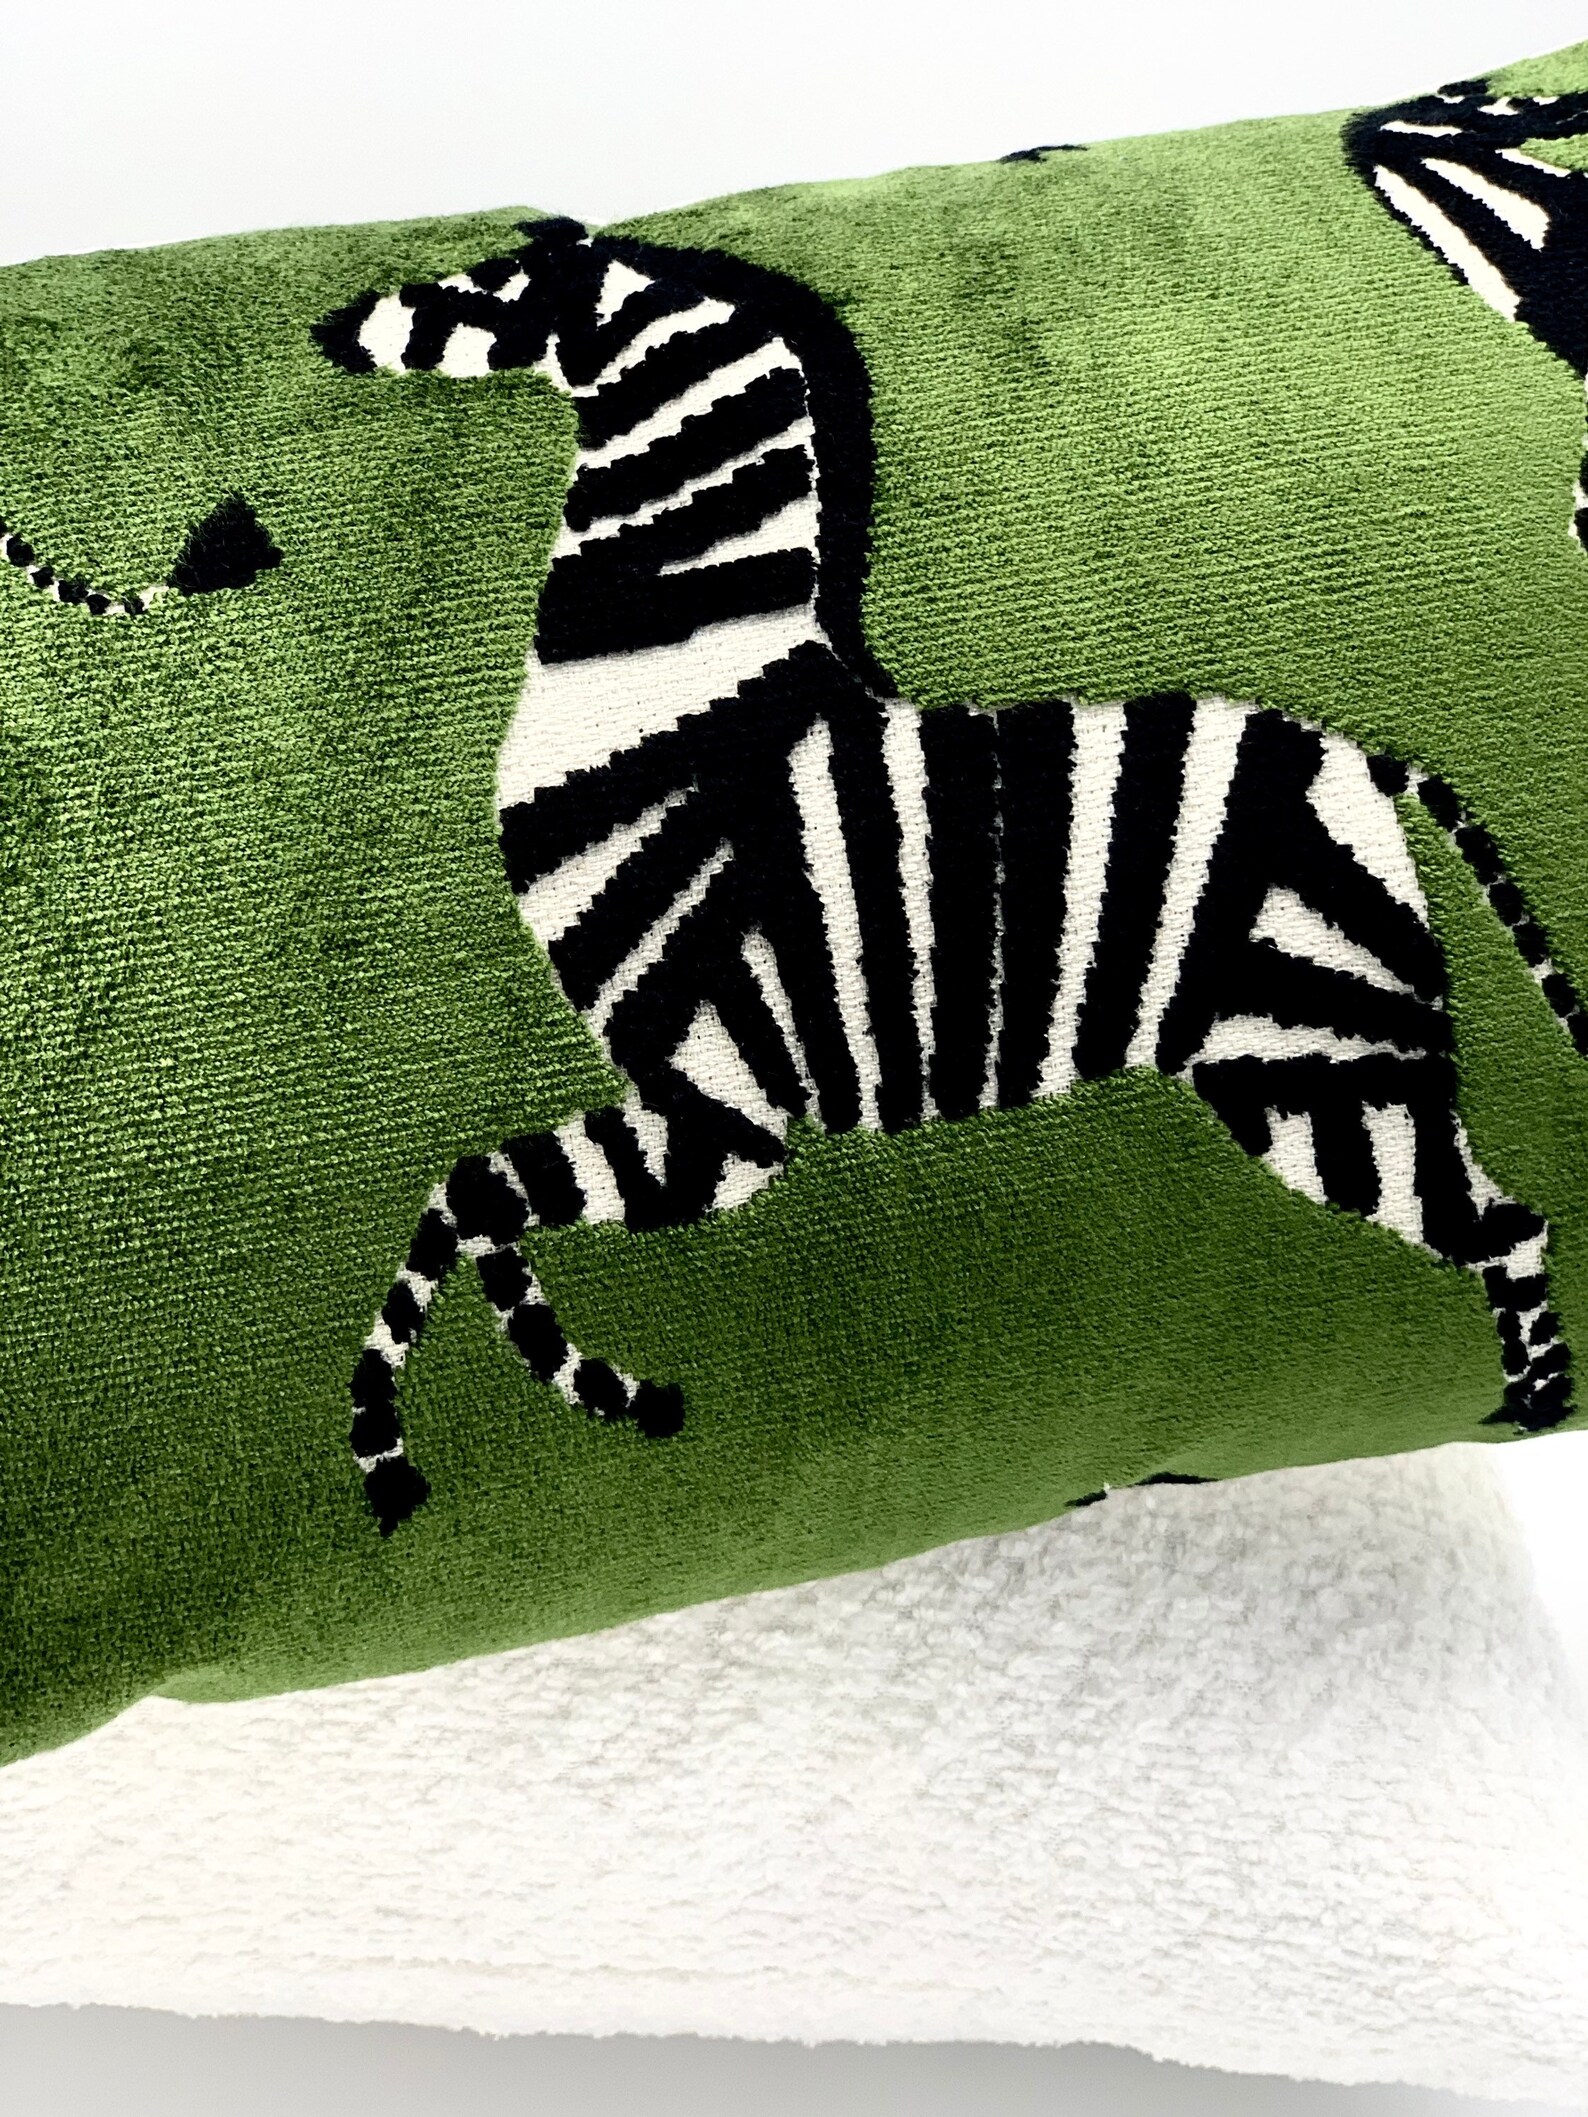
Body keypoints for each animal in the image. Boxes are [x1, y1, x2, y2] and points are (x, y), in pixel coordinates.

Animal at [312, 90, 1588, 1534]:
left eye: (491, 285)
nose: (329, 331)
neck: (689, 688)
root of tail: (1372, 763)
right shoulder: (685, 1106)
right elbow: (479, 1205)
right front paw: (601, 1392)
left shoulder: (721, 1108)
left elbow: (462, 1199)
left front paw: (401, 1451)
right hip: (1295, 1073)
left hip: (1323, 1061)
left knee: (1507, 1222)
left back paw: (1529, 1400)